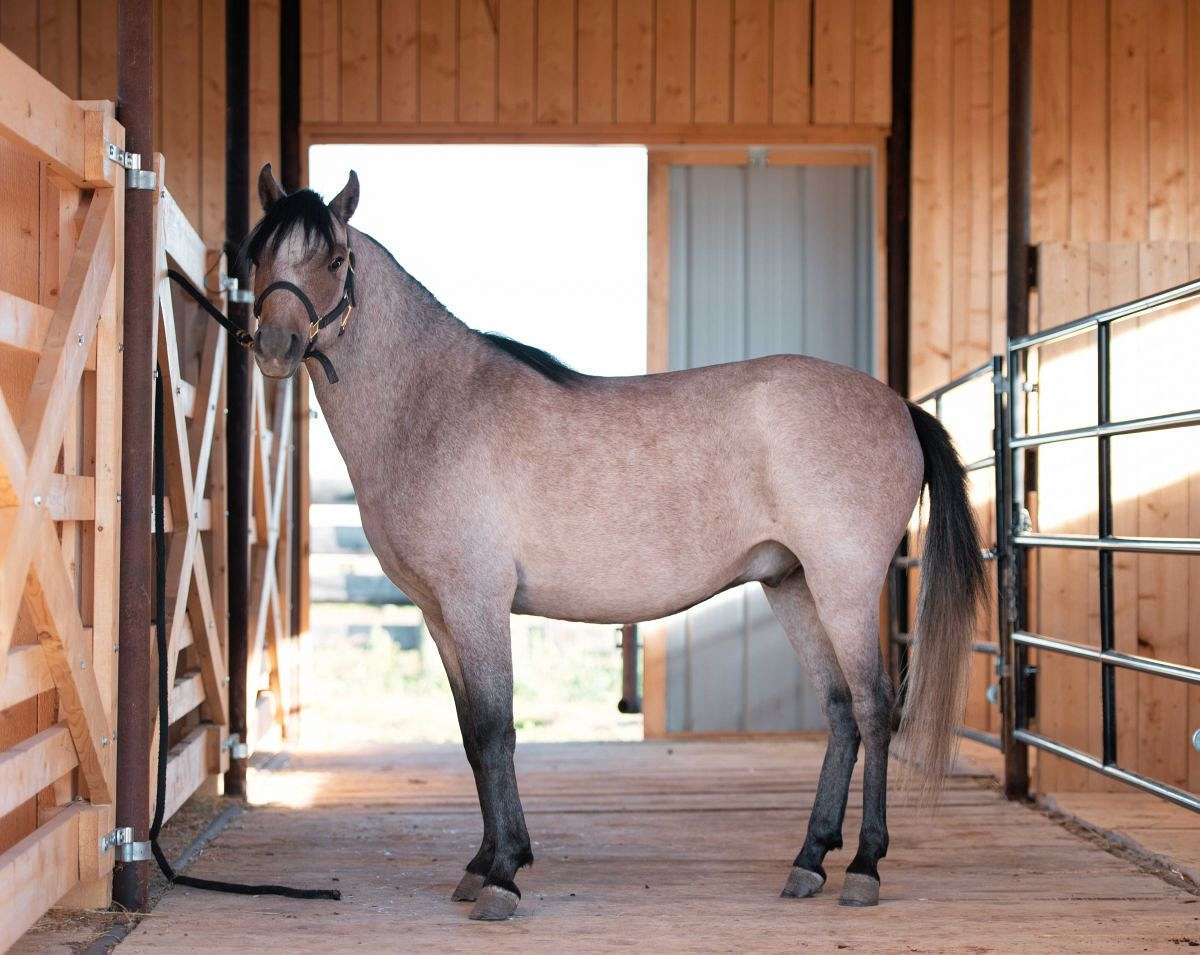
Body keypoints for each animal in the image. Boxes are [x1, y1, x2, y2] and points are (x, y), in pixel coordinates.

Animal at [244, 164, 985, 920]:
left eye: (336, 259)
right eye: (256, 253)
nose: (274, 347)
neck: (433, 407)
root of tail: (900, 406)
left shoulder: (477, 603)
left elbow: (496, 730)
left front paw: (504, 874)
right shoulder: (440, 614)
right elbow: (472, 735)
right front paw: (482, 863)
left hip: (844, 588)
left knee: (874, 708)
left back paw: (864, 865)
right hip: (794, 585)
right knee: (840, 712)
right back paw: (809, 860)